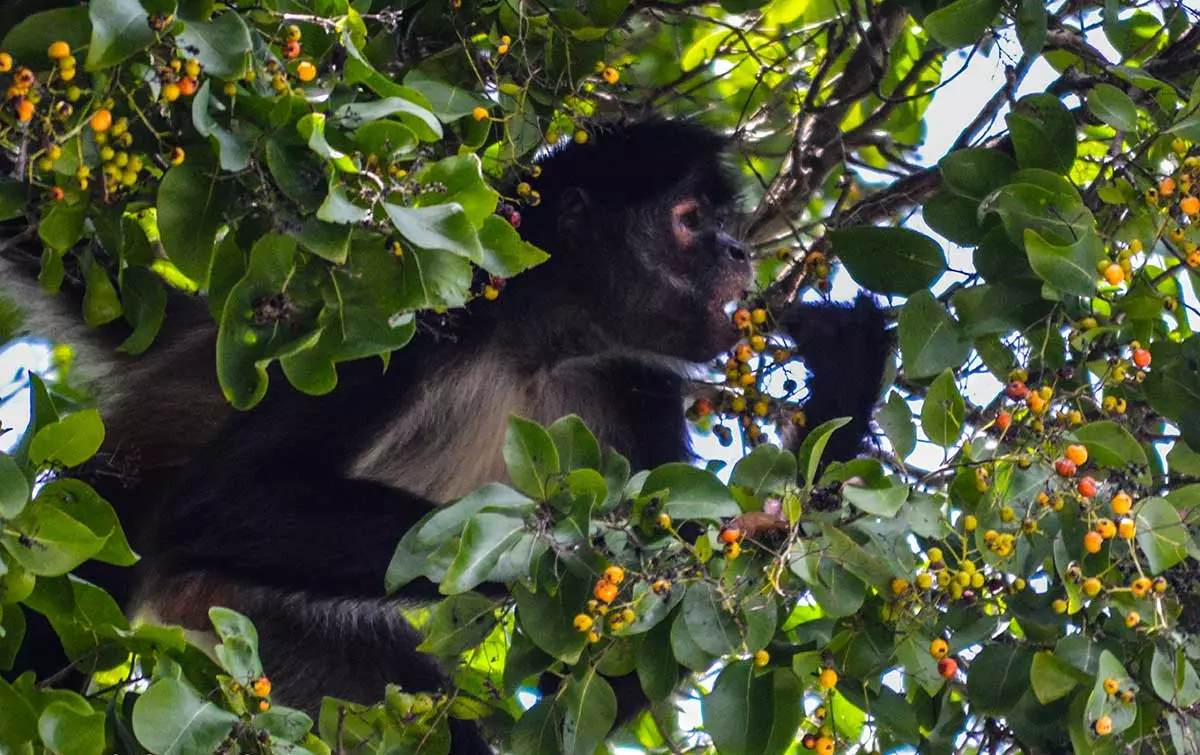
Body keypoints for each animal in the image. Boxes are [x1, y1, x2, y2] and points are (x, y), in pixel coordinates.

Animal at [2, 119, 892, 748]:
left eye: (724, 224)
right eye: (689, 221)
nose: (740, 249)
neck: (538, 343)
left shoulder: (637, 379)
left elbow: (592, 689)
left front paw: (844, 390)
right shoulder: (425, 314)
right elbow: (222, 500)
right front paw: (578, 553)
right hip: (110, 500)